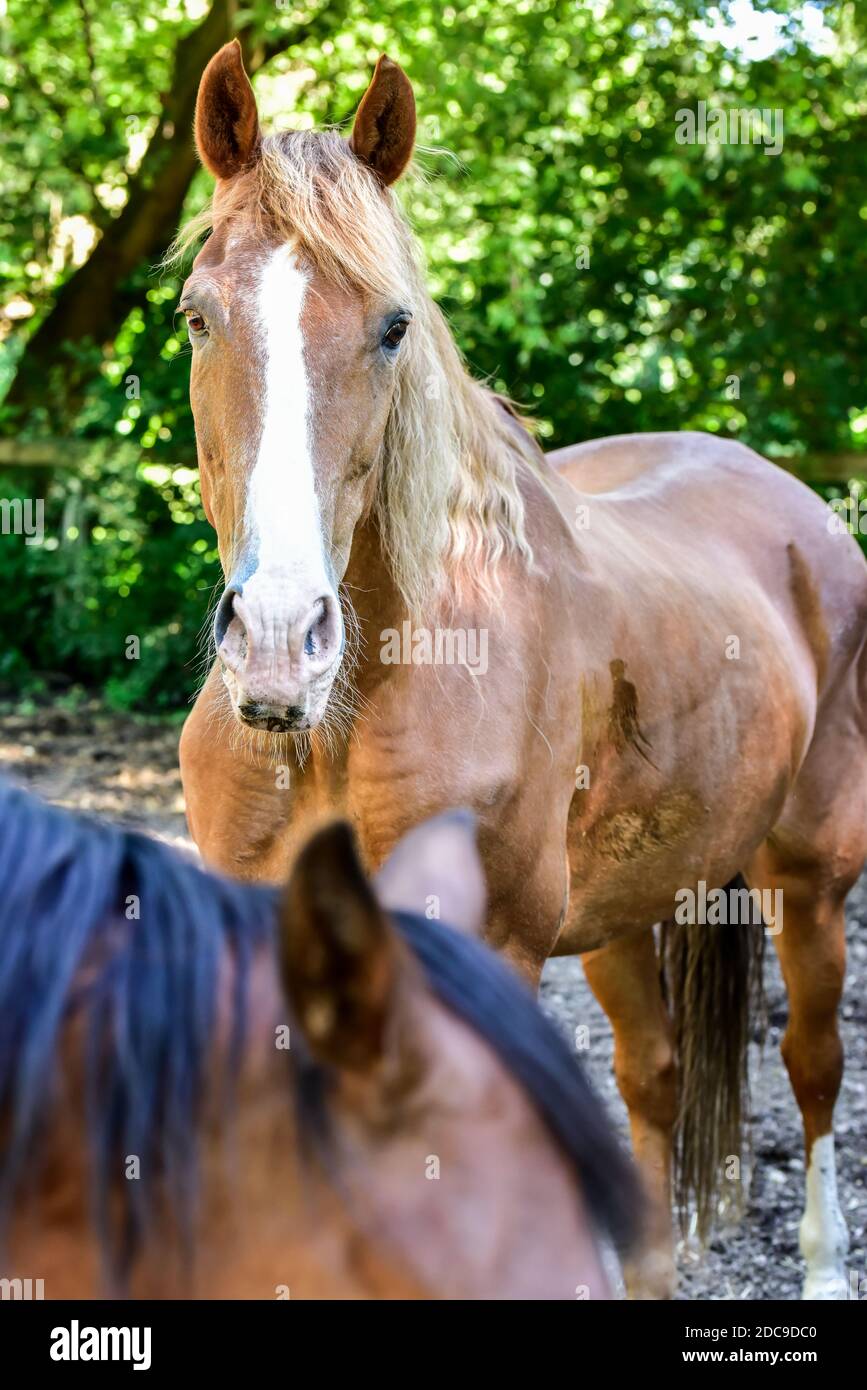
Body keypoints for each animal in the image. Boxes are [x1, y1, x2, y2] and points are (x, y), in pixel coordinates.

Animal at [175, 41, 867, 1299]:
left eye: (393, 326)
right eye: (200, 317)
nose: (279, 635)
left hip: (814, 879)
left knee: (813, 1062)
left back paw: (827, 1262)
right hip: (637, 900)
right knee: (654, 1078)